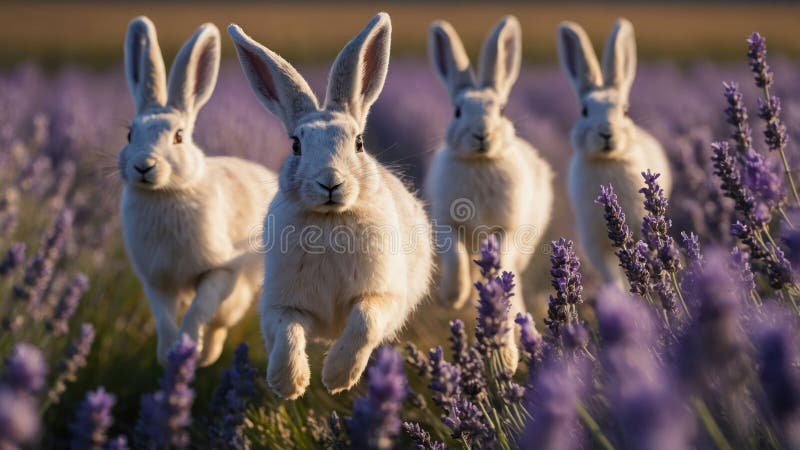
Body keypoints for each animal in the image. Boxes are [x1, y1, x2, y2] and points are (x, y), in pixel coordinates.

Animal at [120, 17, 278, 367]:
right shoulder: (156, 280)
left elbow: (198, 311)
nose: (143, 166)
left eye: (178, 137)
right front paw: (168, 354)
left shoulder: (221, 270)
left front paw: (187, 347)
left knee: (220, 323)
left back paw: (206, 357)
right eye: (129, 134)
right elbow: (164, 318)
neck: (165, 192)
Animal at [228, 12, 433, 399]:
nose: (330, 183)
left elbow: (364, 322)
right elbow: (288, 334)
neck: (330, 219)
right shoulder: (283, 304)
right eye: (296, 145)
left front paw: (337, 377)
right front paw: (289, 383)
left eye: (359, 142)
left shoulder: (381, 295)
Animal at [425, 16, 553, 372]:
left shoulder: (507, 229)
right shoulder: (445, 222)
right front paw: (452, 297)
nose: (481, 135)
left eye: (502, 110)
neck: (481, 161)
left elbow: (501, 266)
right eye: (456, 111)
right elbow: (454, 255)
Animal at [557, 18, 672, 287]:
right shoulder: (596, 246)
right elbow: (611, 276)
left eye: (625, 111)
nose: (606, 133)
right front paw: (619, 293)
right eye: (584, 111)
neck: (607, 160)